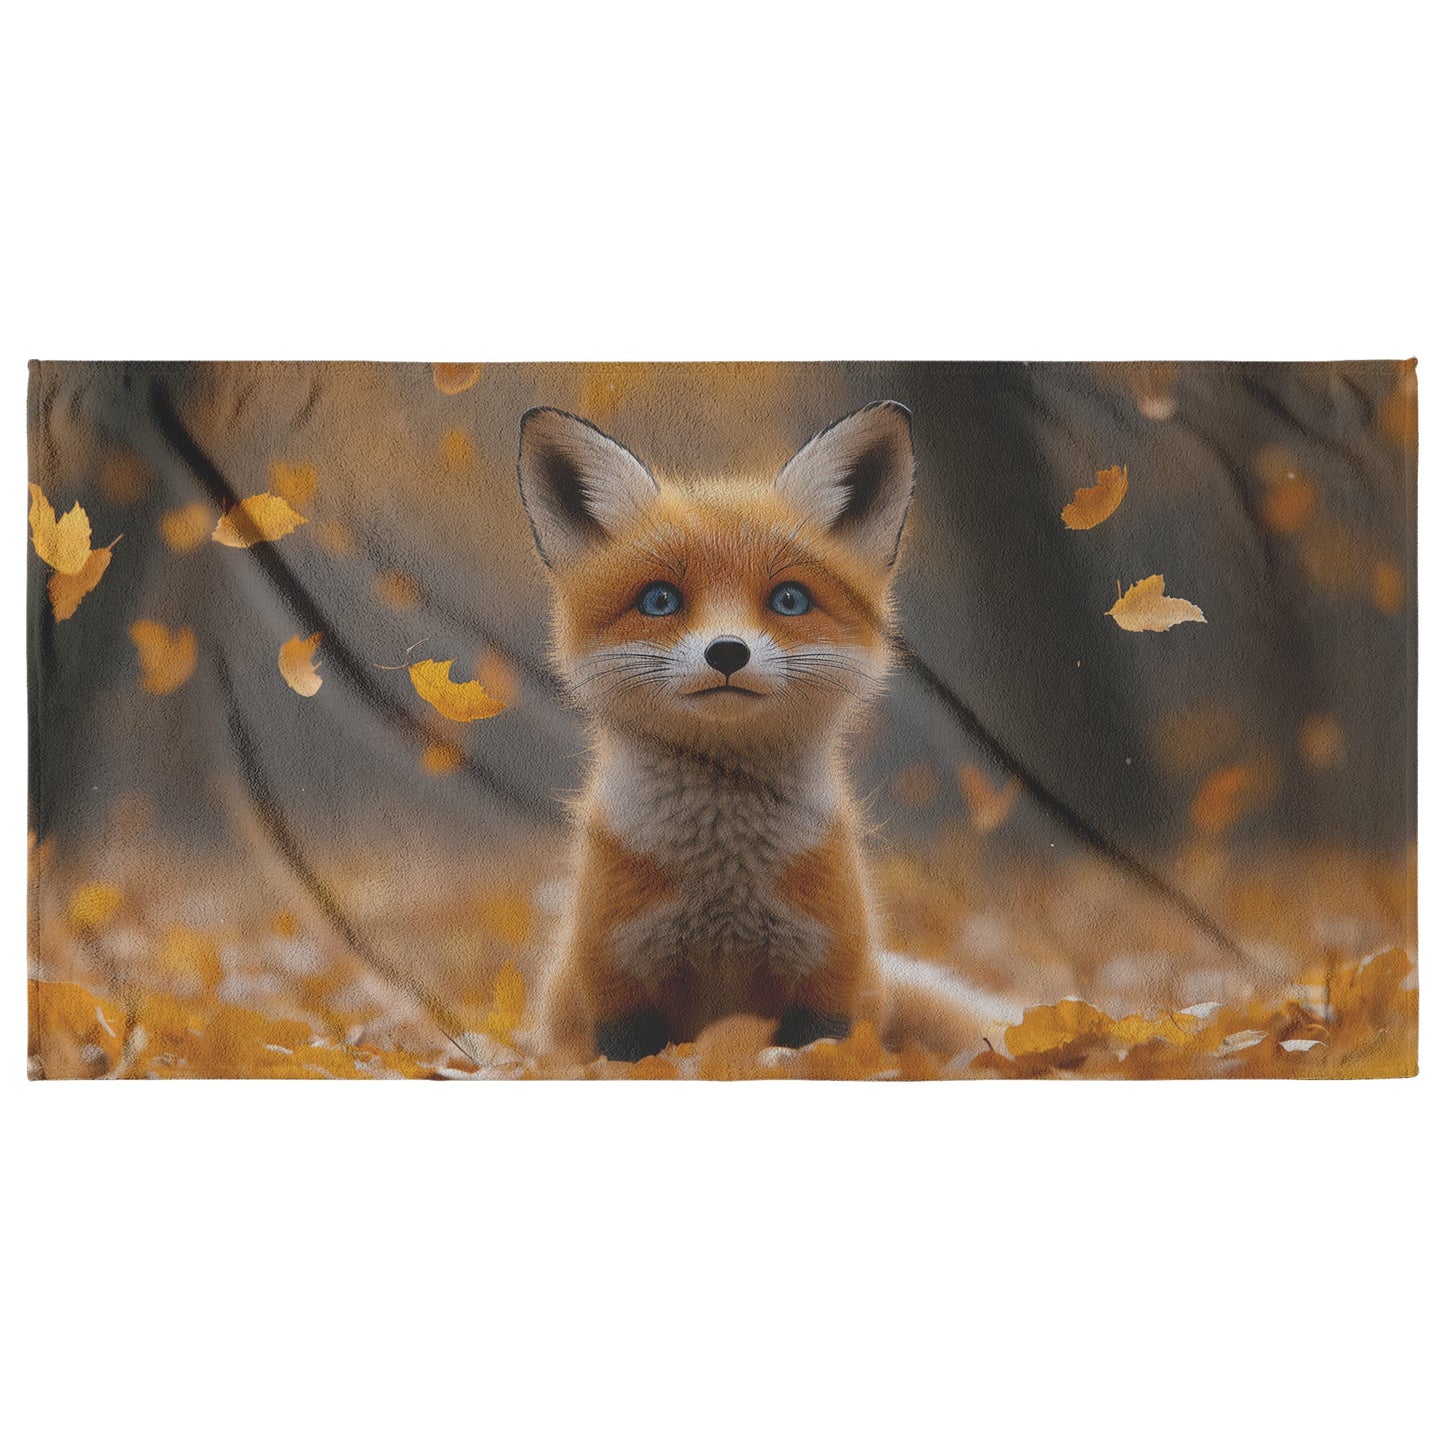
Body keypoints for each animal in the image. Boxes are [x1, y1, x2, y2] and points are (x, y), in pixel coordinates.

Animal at [516, 400, 989, 1064]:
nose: (727, 653)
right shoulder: (617, 986)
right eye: (659, 600)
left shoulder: (827, 981)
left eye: (789, 599)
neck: (724, 883)